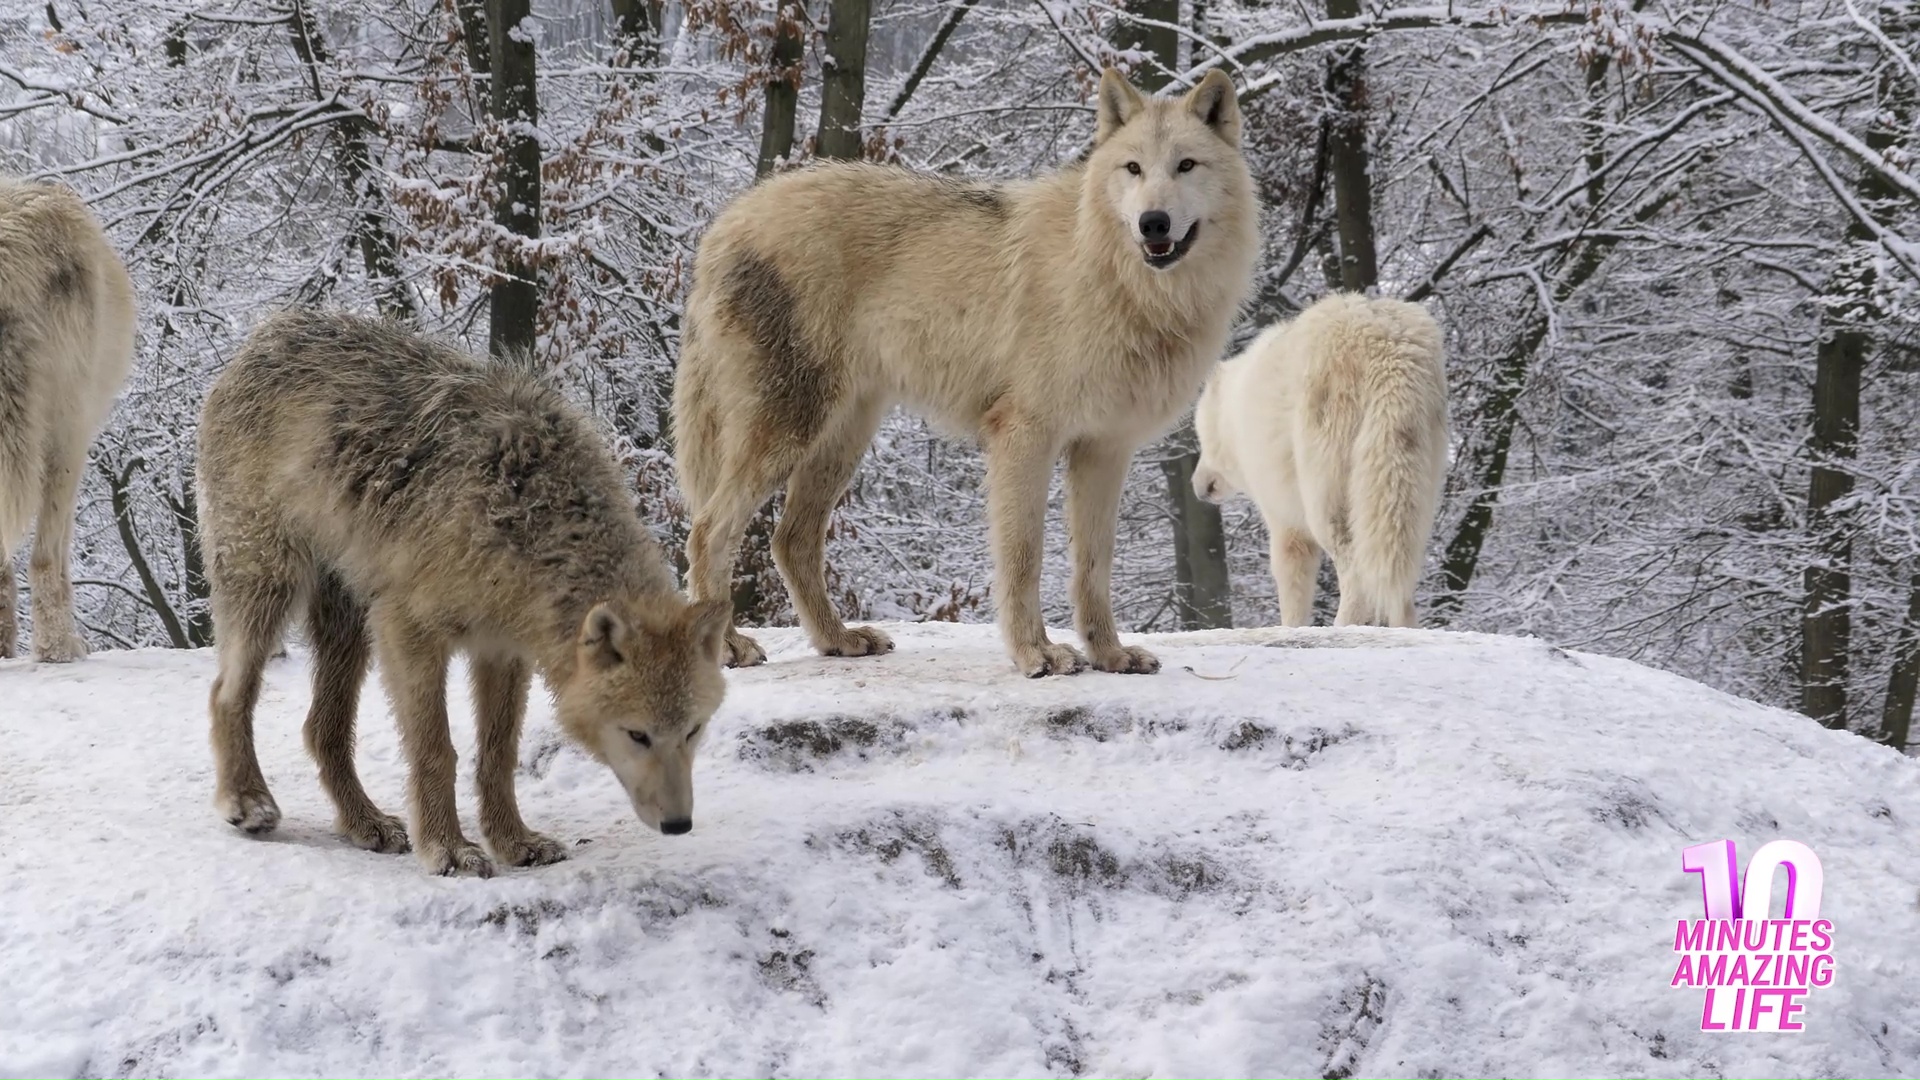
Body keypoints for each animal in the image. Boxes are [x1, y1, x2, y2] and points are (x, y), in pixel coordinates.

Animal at [197, 310, 729, 877]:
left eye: (693, 730)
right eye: (637, 735)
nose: (679, 825)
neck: (529, 517)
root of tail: (269, 331)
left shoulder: (502, 649)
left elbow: (497, 753)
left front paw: (514, 841)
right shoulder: (408, 630)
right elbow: (437, 750)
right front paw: (448, 849)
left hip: (349, 624)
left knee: (321, 728)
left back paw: (367, 823)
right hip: (270, 588)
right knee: (227, 693)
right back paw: (248, 801)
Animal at [673, 67, 1259, 678]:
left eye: (1186, 165)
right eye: (1134, 169)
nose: (1153, 223)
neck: (1118, 282)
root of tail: (726, 222)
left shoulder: (1105, 450)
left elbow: (1094, 567)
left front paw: (1110, 655)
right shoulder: (1023, 437)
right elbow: (1023, 558)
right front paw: (1036, 653)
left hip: (840, 441)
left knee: (791, 540)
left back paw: (839, 639)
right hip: (787, 433)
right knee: (708, 531)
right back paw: (726, 646)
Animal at [1193, 293, 1449, 628]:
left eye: (1199, 439)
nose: (1196, 485)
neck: (1233, 415)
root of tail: (1389, 348)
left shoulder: (1285, 524)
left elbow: (1291, 592)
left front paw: (1291, 629)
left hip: (1329, 501)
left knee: (1355, 575)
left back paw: (1343, 626)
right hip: (1411, 493)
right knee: (1398, 581)